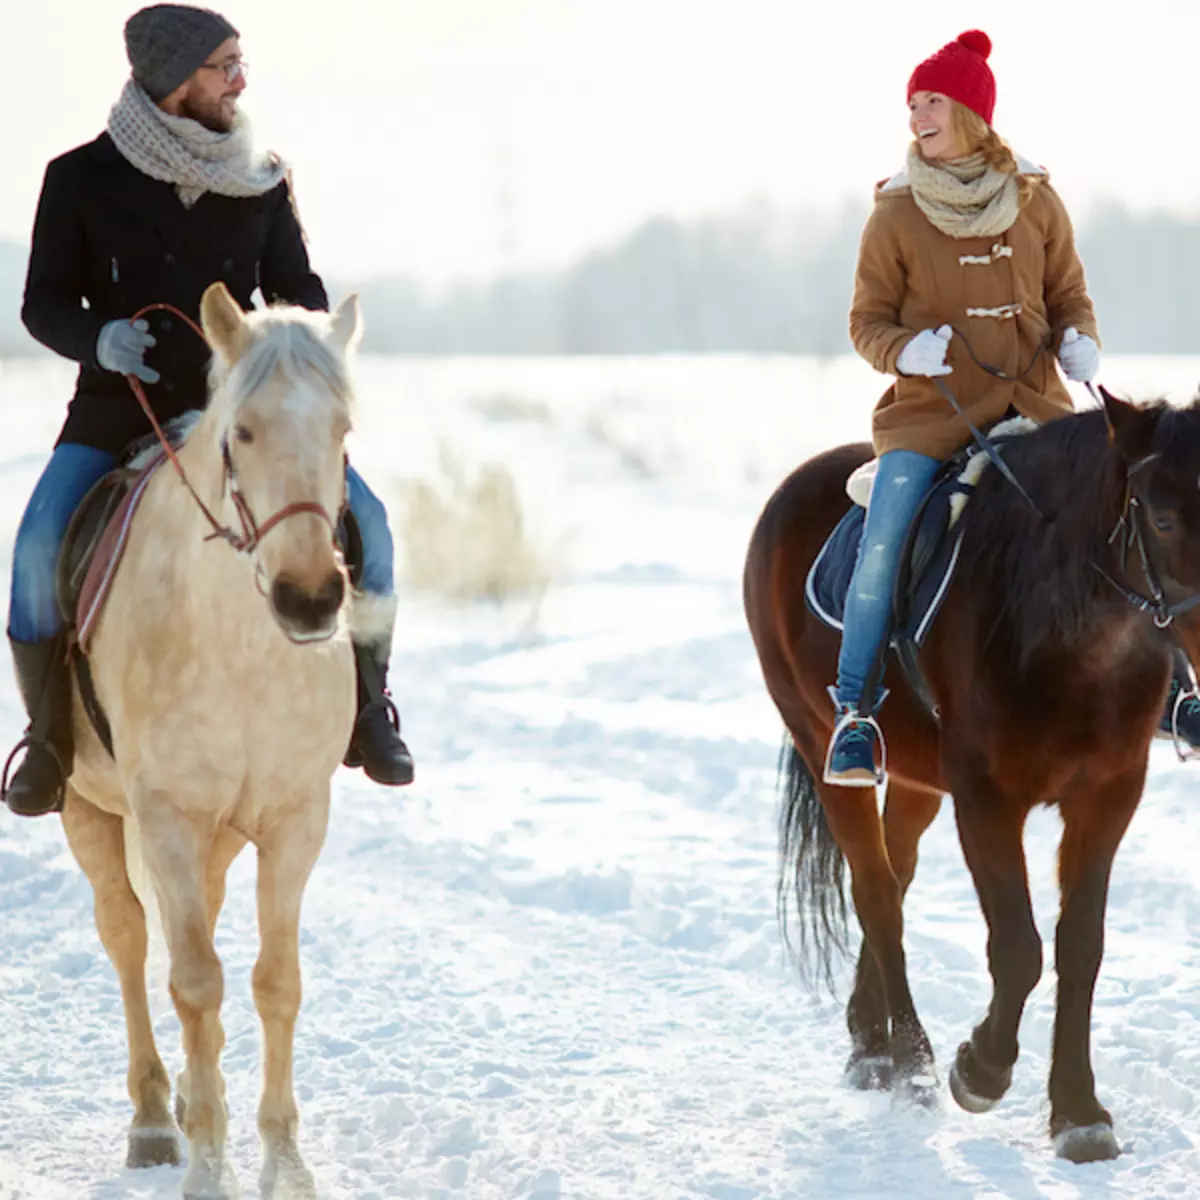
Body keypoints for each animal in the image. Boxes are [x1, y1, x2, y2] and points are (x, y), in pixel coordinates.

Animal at [63, 283, 360, 1200]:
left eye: (343, 429)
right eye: (244, 431)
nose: (310, 598)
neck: (240, 648)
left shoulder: (296, 820)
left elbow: (275, 982)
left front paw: (283, 1163)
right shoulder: (166, 816)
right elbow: (193, 981)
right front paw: (205, 1166)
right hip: (88, 809)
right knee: (127, 939)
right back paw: (159, 1119)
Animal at [739, 391, 1200, 1161]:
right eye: (1164, 519)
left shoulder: (1108, 796)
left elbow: (1081, 946)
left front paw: (1078, 1114)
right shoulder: (986, 800)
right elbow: (1018, 947)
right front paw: (980, 1070)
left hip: (918, 781)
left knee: (895, 875)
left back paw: (870, 1044)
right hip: (821, 745)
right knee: (877, 895)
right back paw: (911, 1062)